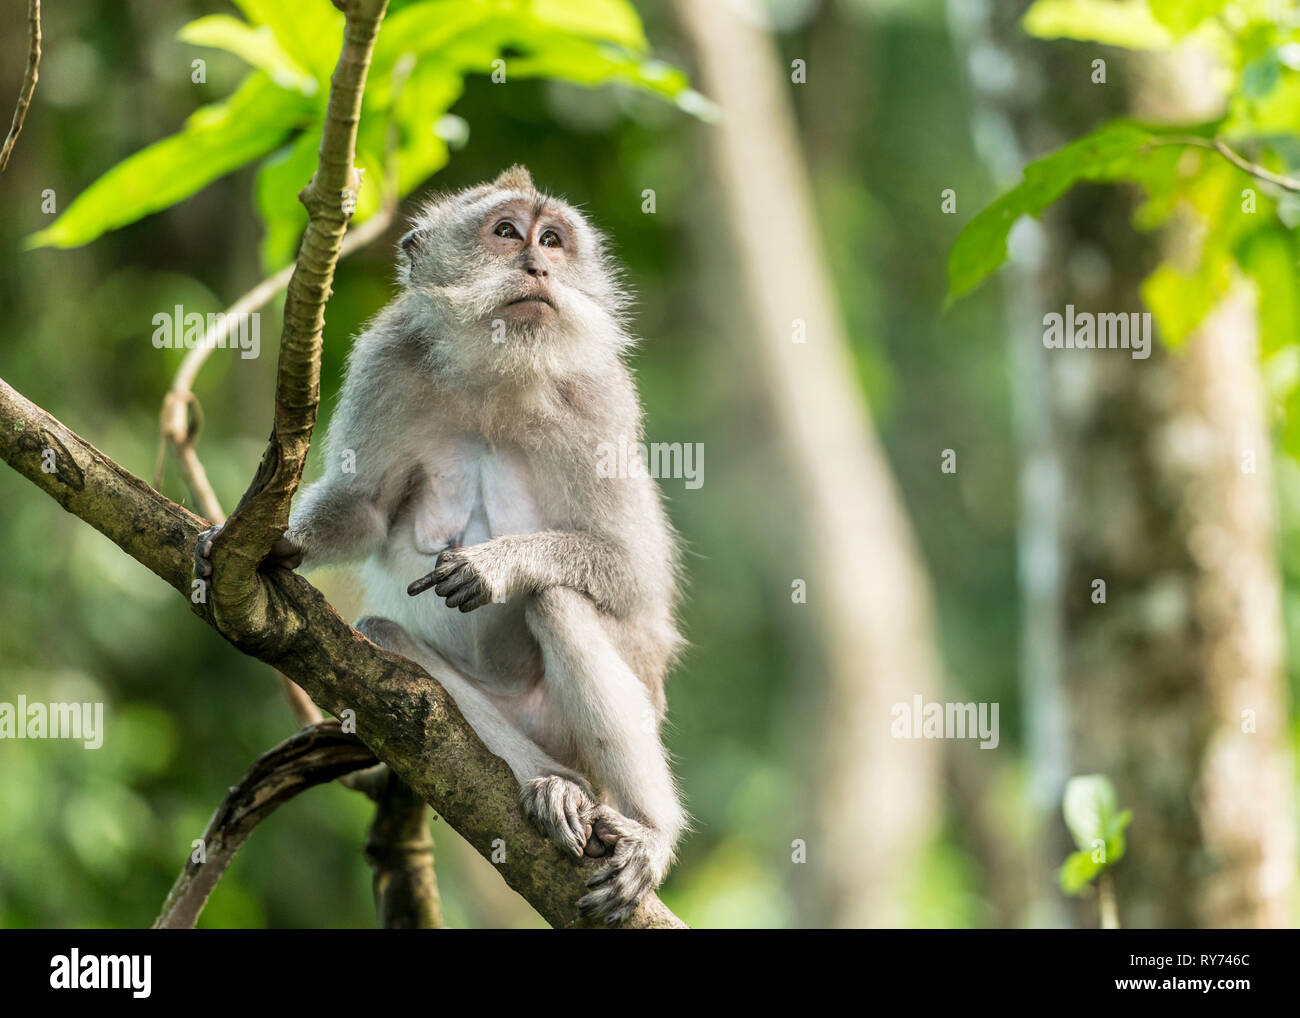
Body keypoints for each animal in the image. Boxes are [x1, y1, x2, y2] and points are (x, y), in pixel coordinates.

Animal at [202, 166, 687, 922]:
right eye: (507, 233)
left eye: (553, 240)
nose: (538, 265)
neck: (499, 375)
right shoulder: (386, 359)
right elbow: (368, 508)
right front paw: (280, 544)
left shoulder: (602, 397)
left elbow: (638, 577)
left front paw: (499, 565)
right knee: (392, 649)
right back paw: (558, 787)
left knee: (557, 602)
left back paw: (648, 831)